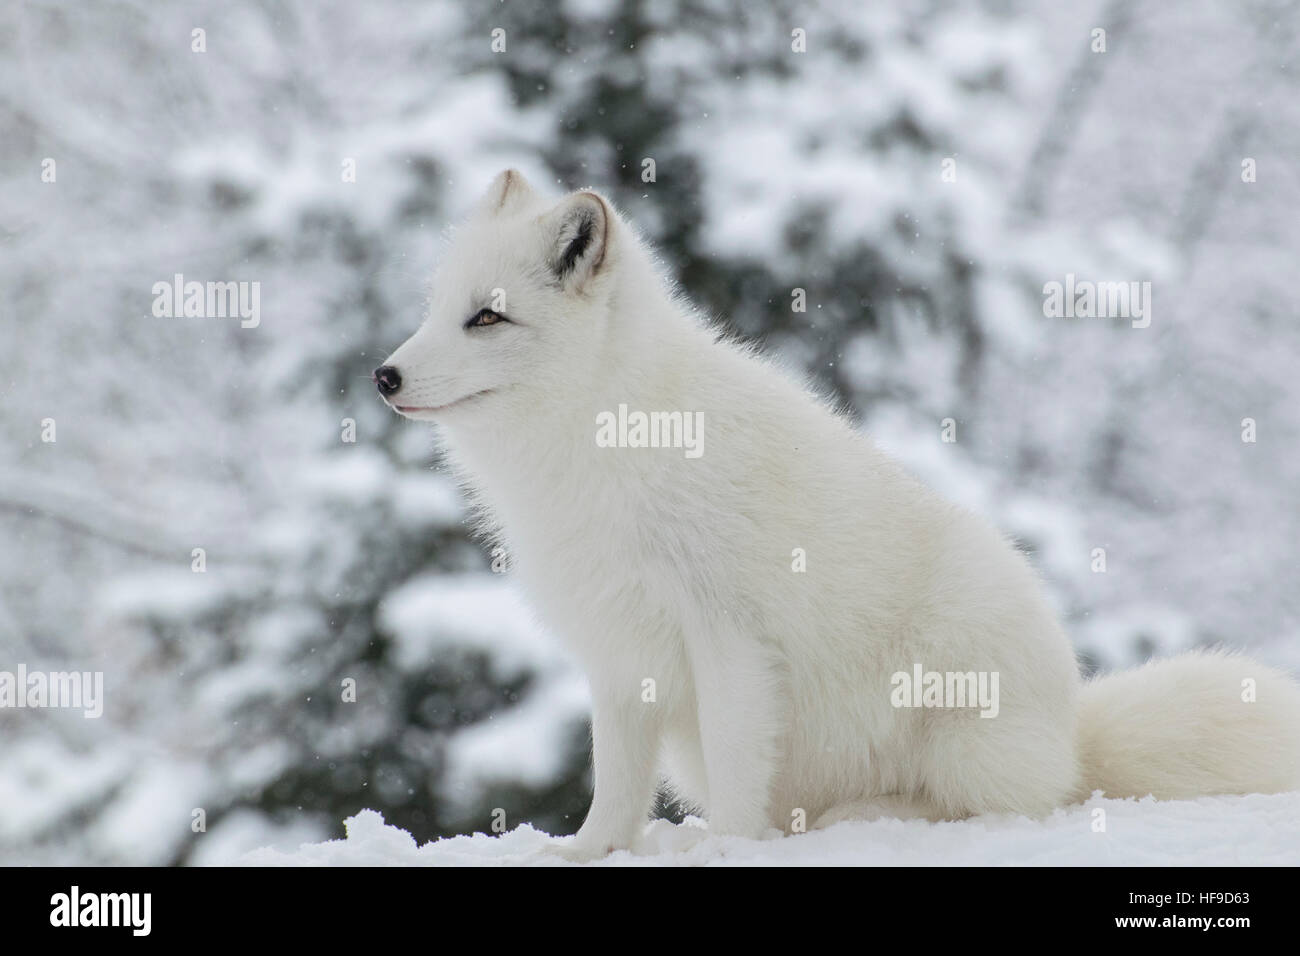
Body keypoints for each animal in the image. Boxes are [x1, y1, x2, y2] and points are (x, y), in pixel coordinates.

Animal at [377, 169, 1300, 859]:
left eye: (487, 316)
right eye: (435, 309)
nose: (383, 376)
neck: (605, 437)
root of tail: (1073, 729)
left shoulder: (729, 636)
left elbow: (739, 761)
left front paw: (723, 847)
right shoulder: (618, 648)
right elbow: (615, 783)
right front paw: (584, 851)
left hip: (959, 722)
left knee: (1000, 807)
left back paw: (858, 818)